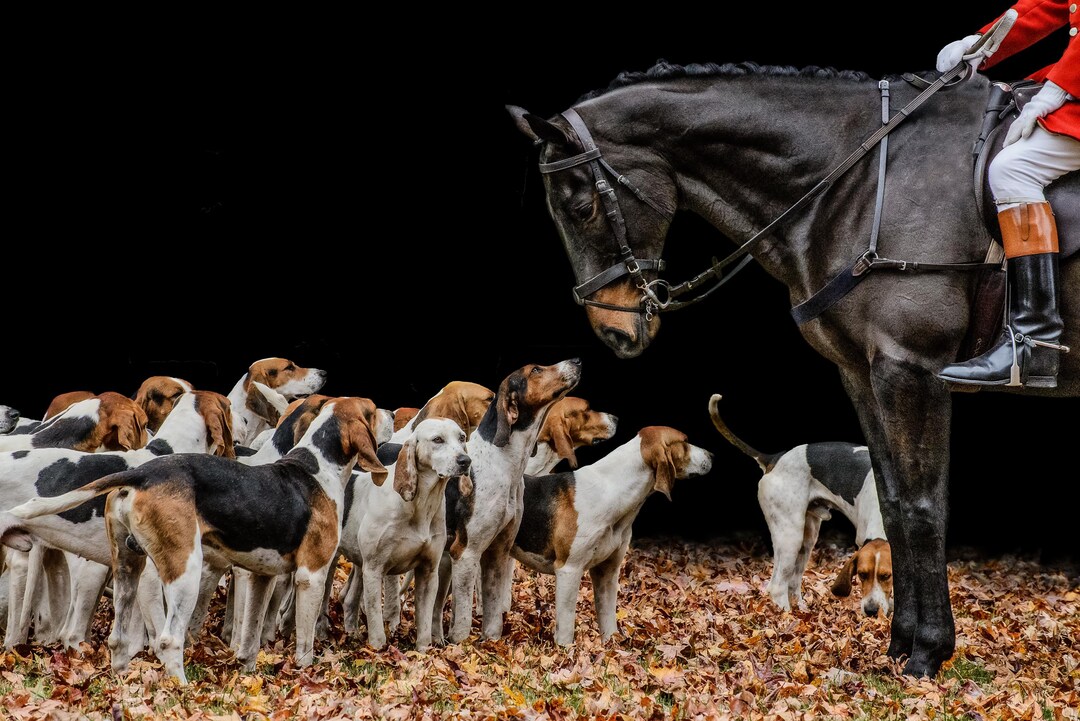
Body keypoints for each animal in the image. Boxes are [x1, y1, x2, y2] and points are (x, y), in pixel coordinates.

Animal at [506, 59, 1078, 678]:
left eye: (581, 206)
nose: (613, 332)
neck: (864, 179)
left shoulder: (912, 369)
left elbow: (924, 505)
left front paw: (928, 650)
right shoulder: (863, 372)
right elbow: (896, 502)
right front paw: (902, 644)